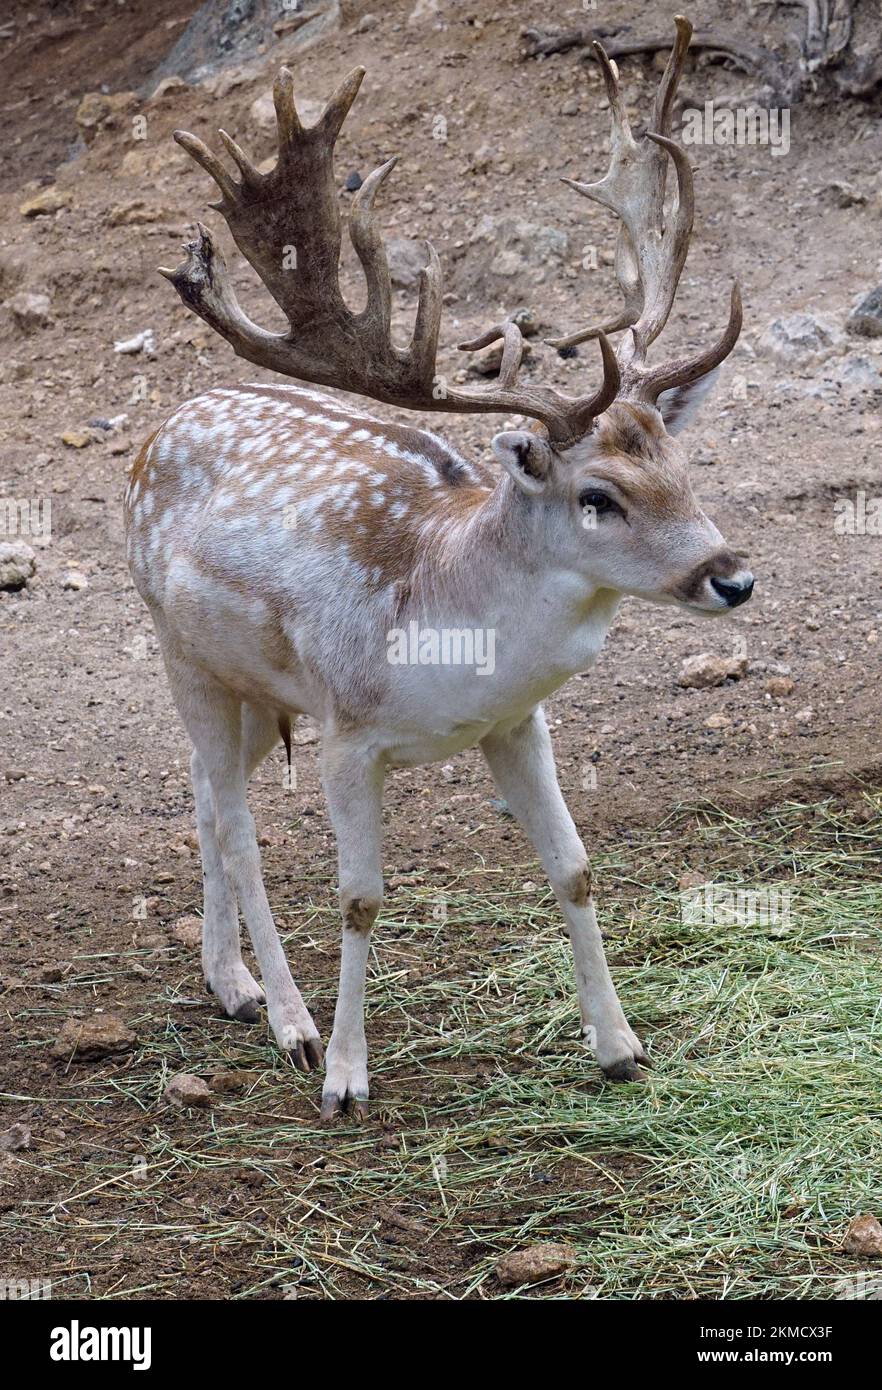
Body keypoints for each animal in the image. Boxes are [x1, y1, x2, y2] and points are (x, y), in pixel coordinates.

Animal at [124, 15, 753, 1120]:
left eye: (682, 466)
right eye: (598, 496)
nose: (731, 576)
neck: (449, 645)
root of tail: (152, 436)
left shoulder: (516, 720)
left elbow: (575, 868)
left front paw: (621, 1047)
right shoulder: (346, 729)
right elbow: (361, 897)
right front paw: (345, 1077)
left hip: (246, 687)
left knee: (203, 793)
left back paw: (232, 984)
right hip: (180, 650)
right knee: (237, 825)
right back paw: (288, 1022)